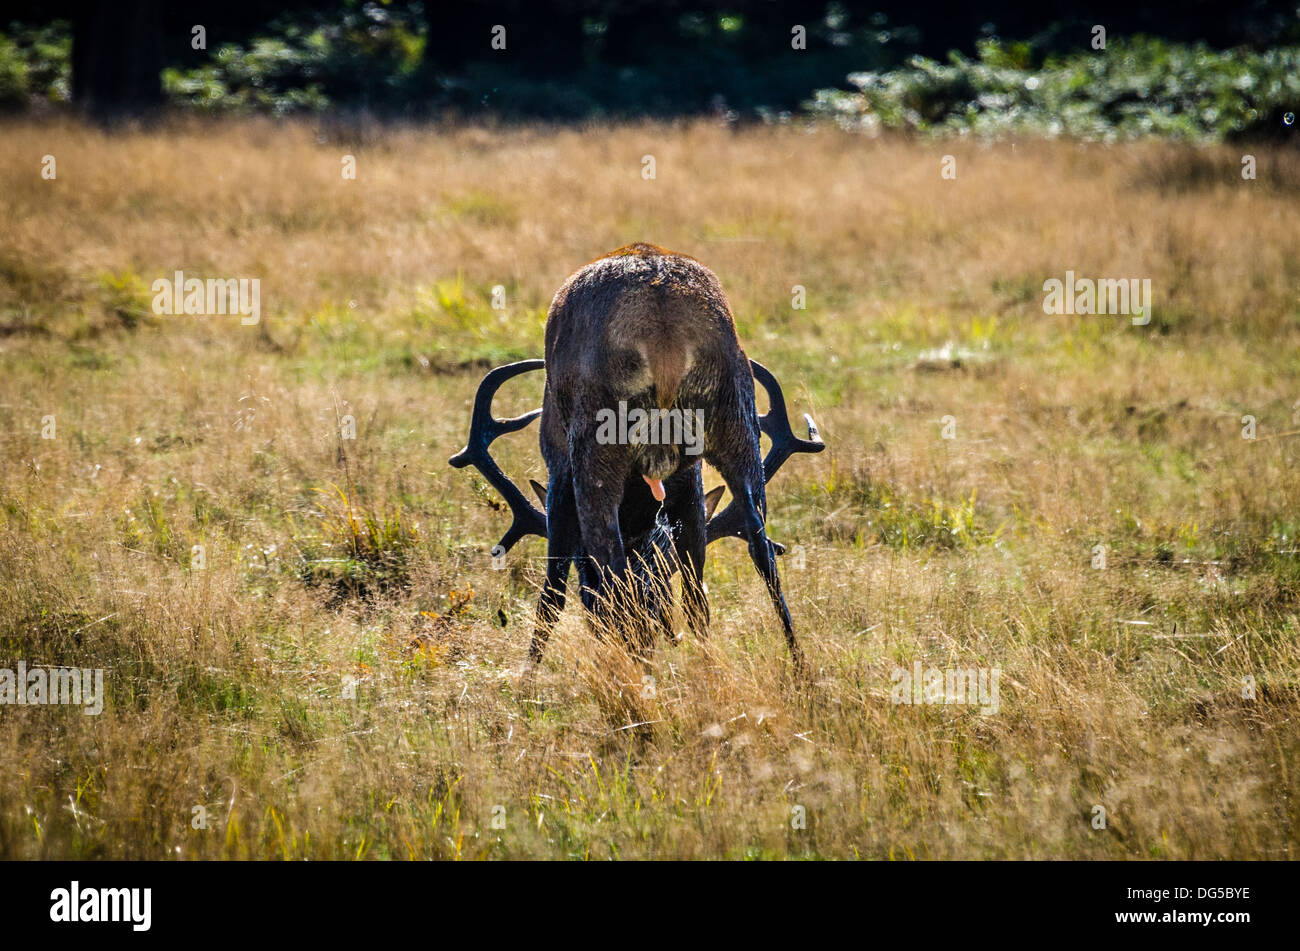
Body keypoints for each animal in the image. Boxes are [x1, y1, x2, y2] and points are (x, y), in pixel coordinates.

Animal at [450, 243, 824, 672]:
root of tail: (664, 327)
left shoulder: (558, 464)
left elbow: (555, 584)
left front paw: (528, 676)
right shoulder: (688, 476)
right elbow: (695, 582)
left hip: (597, 443)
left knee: (609, 561)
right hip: (738, 421)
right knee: (757, 552)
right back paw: (796, 671)